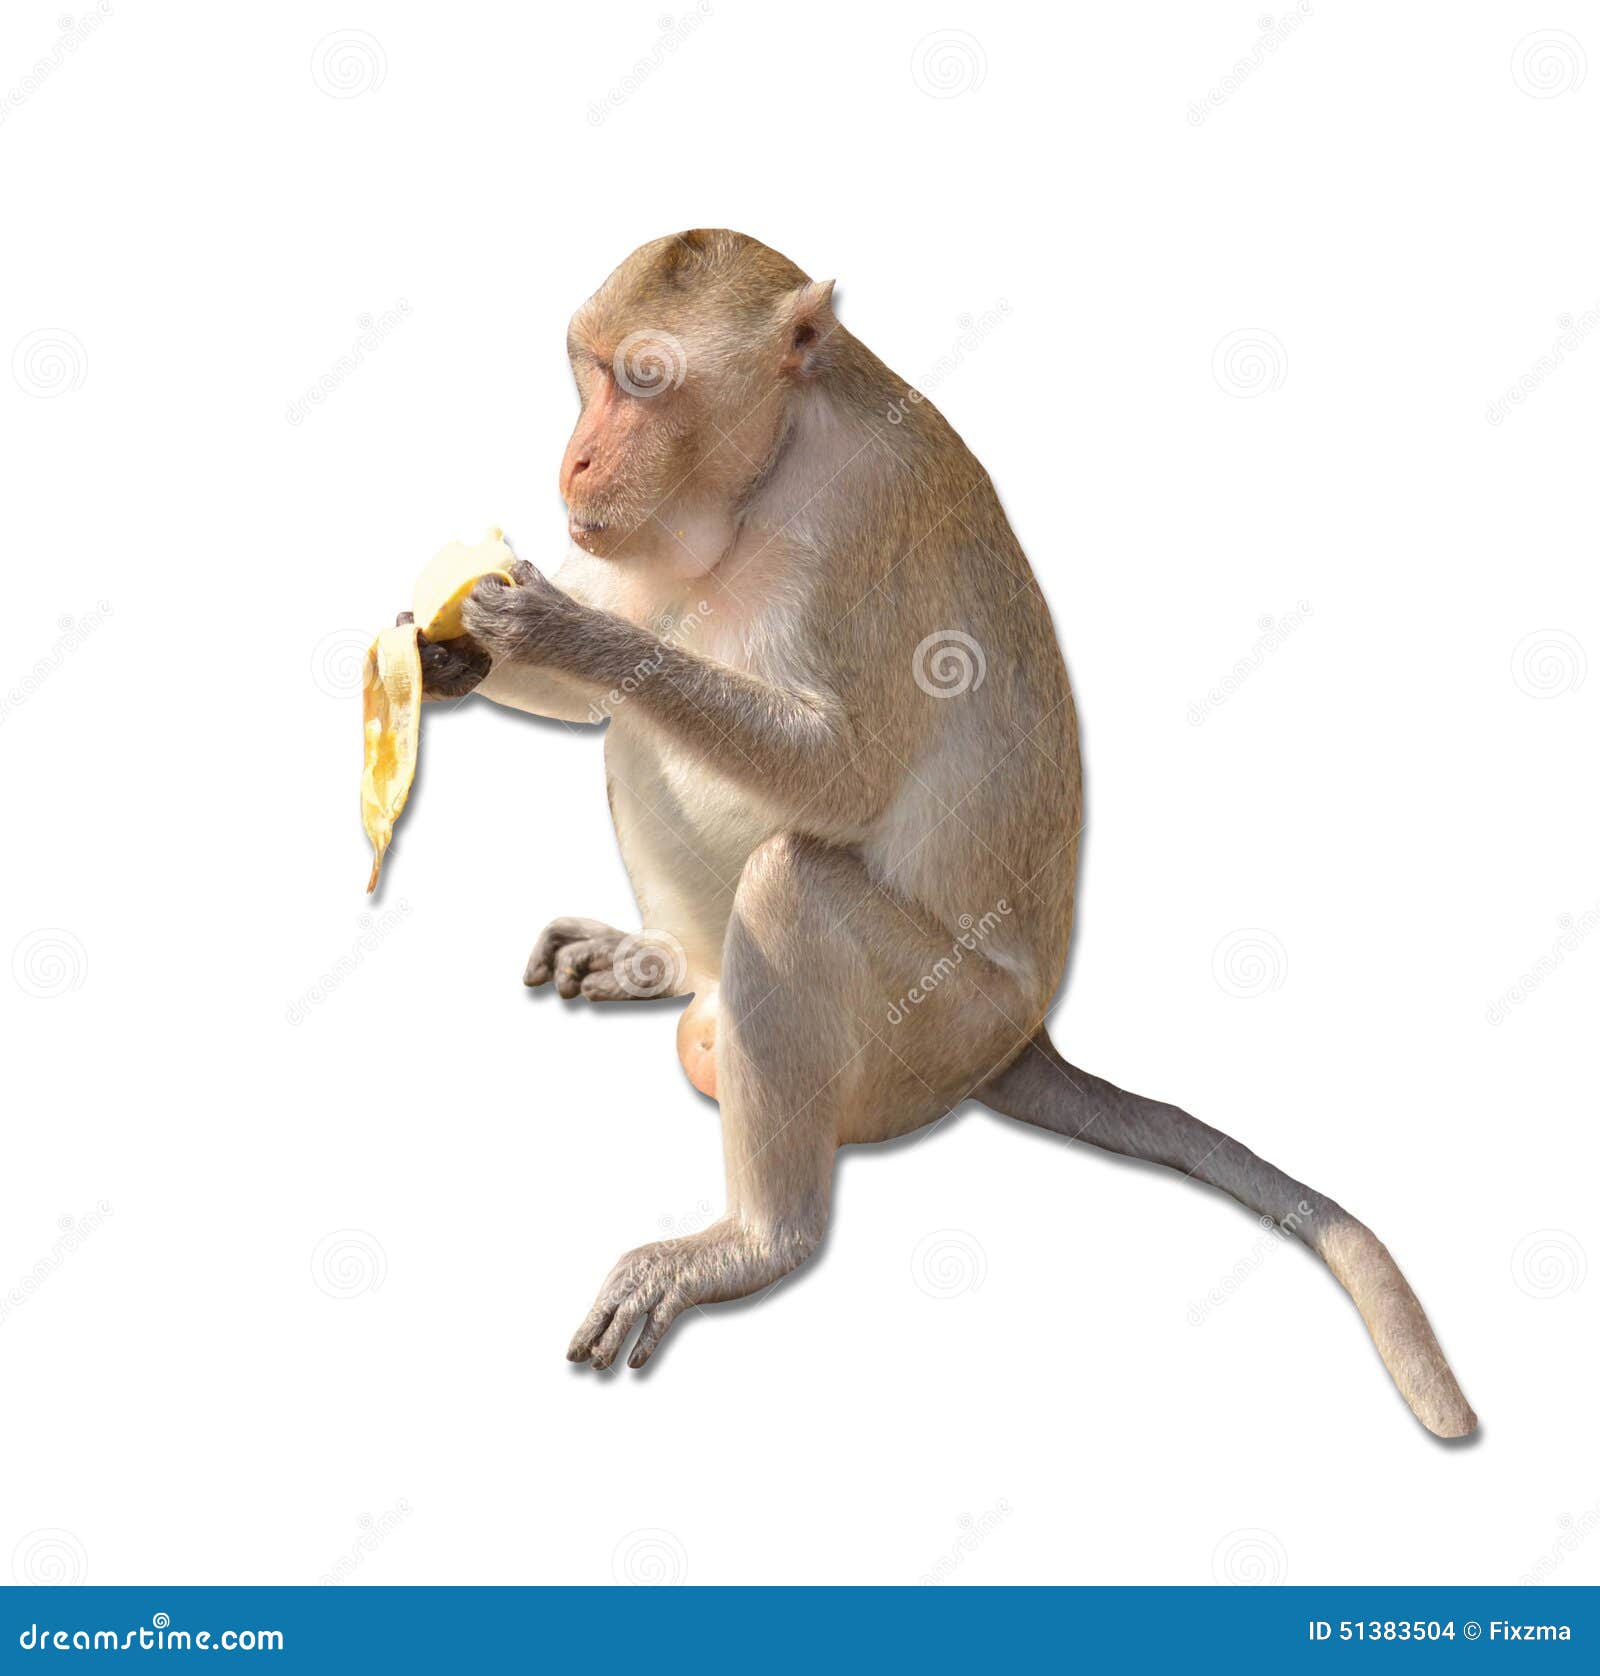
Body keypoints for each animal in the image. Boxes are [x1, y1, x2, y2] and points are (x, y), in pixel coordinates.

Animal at [422, 229, 1475, 1437]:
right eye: (588, 371)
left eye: (643, 381)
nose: (579, 463)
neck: (772, 457)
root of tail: (1024, 1037)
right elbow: (607, 689)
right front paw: (445, 648)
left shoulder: (855, 515)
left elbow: (834, 776)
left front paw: (557, 625)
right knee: (645, 753)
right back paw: (667, 964)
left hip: (933, 1031)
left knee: (786, 879)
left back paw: (755, 1243)